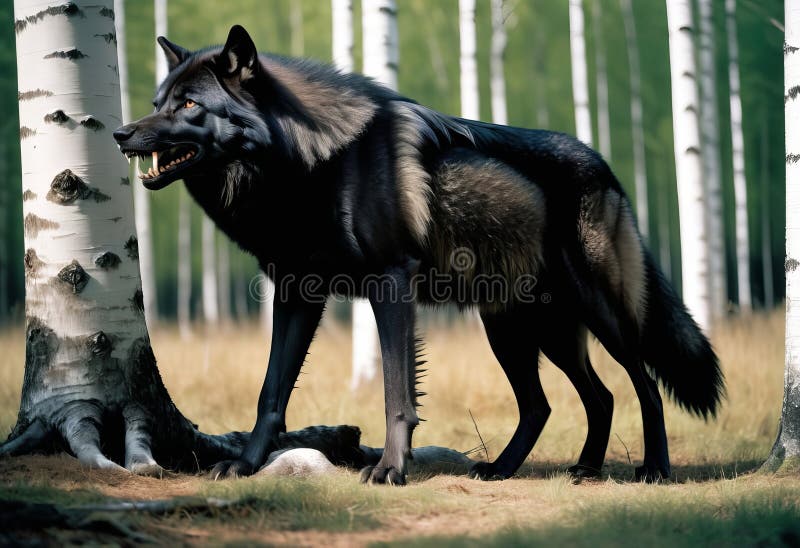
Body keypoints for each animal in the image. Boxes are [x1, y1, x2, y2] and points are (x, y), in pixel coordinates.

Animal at [113, 25, 724, 484]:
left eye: (190, 104)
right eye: (157, 103)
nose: (121, 133)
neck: (312, 163)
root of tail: (606, 168)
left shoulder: (390, 284)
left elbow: (394, 391)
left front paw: (389, 469)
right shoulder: (295, 294)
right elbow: (271, 392)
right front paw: (243, 465)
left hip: (594, 317)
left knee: (642, 386)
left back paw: (654, 468)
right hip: (519, 331)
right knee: (573, 401)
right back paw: (548, 469)